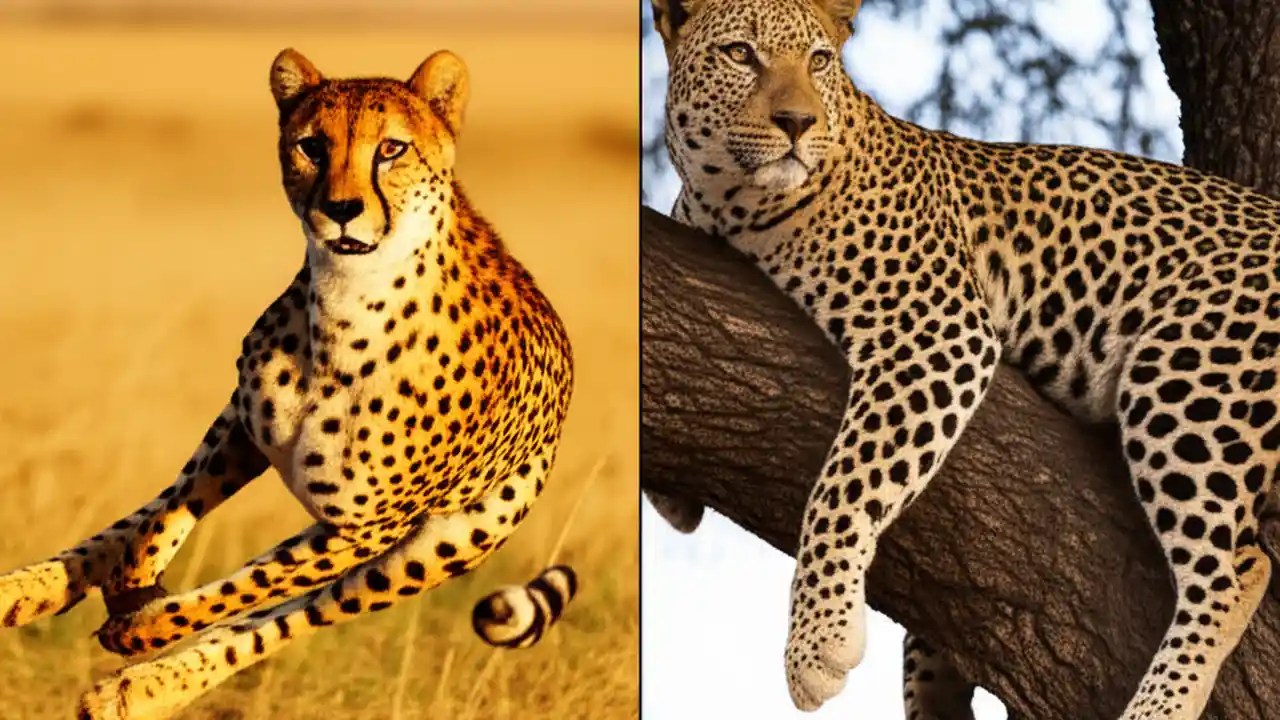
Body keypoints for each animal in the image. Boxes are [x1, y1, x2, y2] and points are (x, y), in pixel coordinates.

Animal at [0, 47, 574, 720]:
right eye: (312, 146)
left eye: (391, 149)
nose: (342, 209)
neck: (346, 303)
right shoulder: (241, 426)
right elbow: (161, 521)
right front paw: (130, 589)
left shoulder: (367, 527)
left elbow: (250, 587)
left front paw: (139, 625)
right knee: (134, 527)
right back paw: (27, 591)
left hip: (428, 552)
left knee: (282, 619)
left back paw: (142, 688)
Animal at [647, 0, 1279, 717]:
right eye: (739, 54)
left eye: (818, 61)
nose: (796, 123)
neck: (727, 203)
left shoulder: (935, 327)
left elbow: (845, 481)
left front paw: (819, 640)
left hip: (1188, 375)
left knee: (1238, 567)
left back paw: (1158, 705)